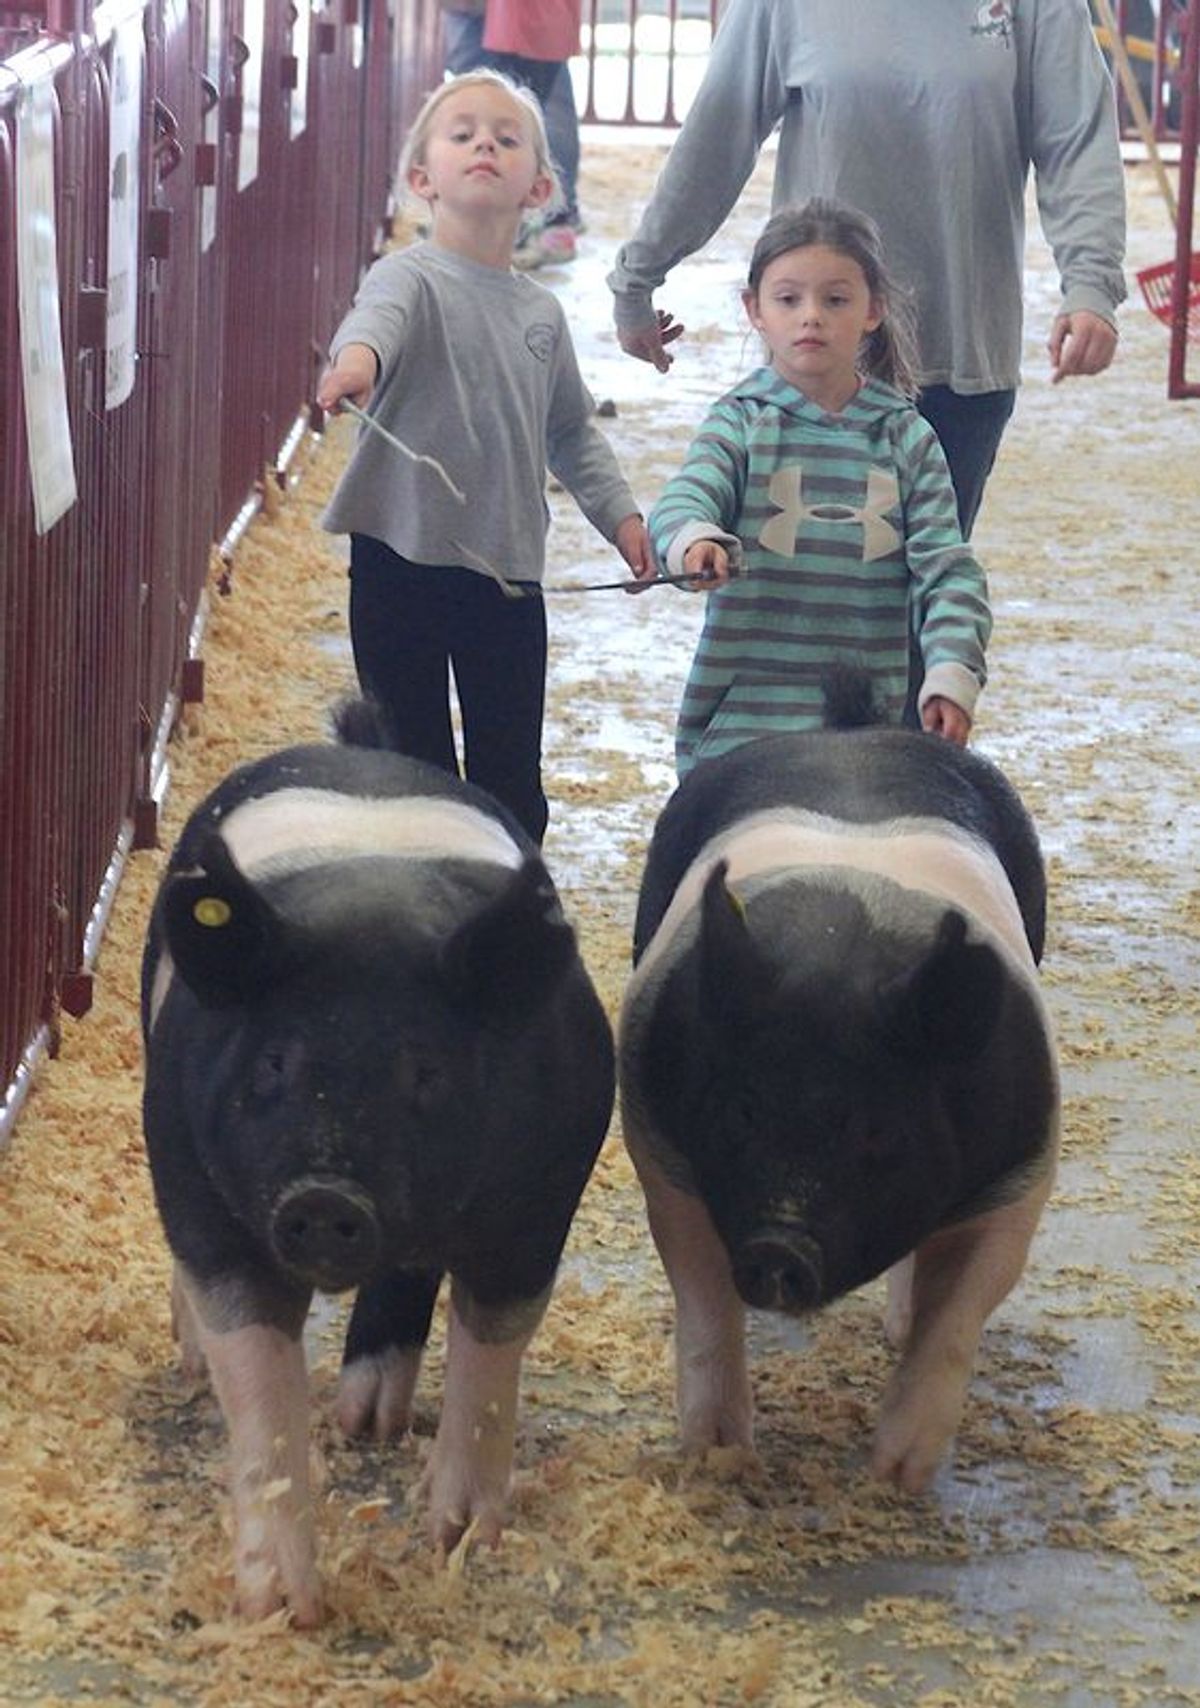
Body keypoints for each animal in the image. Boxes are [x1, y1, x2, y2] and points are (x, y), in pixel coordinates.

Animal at [141, 699, 614, 1624]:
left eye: (426, 1073)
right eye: (274, 1062)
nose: (325, 1195)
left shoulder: (539, 1207)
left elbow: (490, 1355)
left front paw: (459, 1540)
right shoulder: (201, 1191)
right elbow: (257, 1380)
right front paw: (281, 1611)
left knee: (412, 1277)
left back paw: (369, 1420)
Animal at [617, 718, 1058, 1495]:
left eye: (880, 1130)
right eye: (743, 1111)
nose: (778, 1245)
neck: (839, 965)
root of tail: (849, 730)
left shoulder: (1020, 1176)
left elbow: (960, 1317)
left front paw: (898, 1474)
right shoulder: (663, 1151)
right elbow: (704, 1303)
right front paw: (719, 1456)